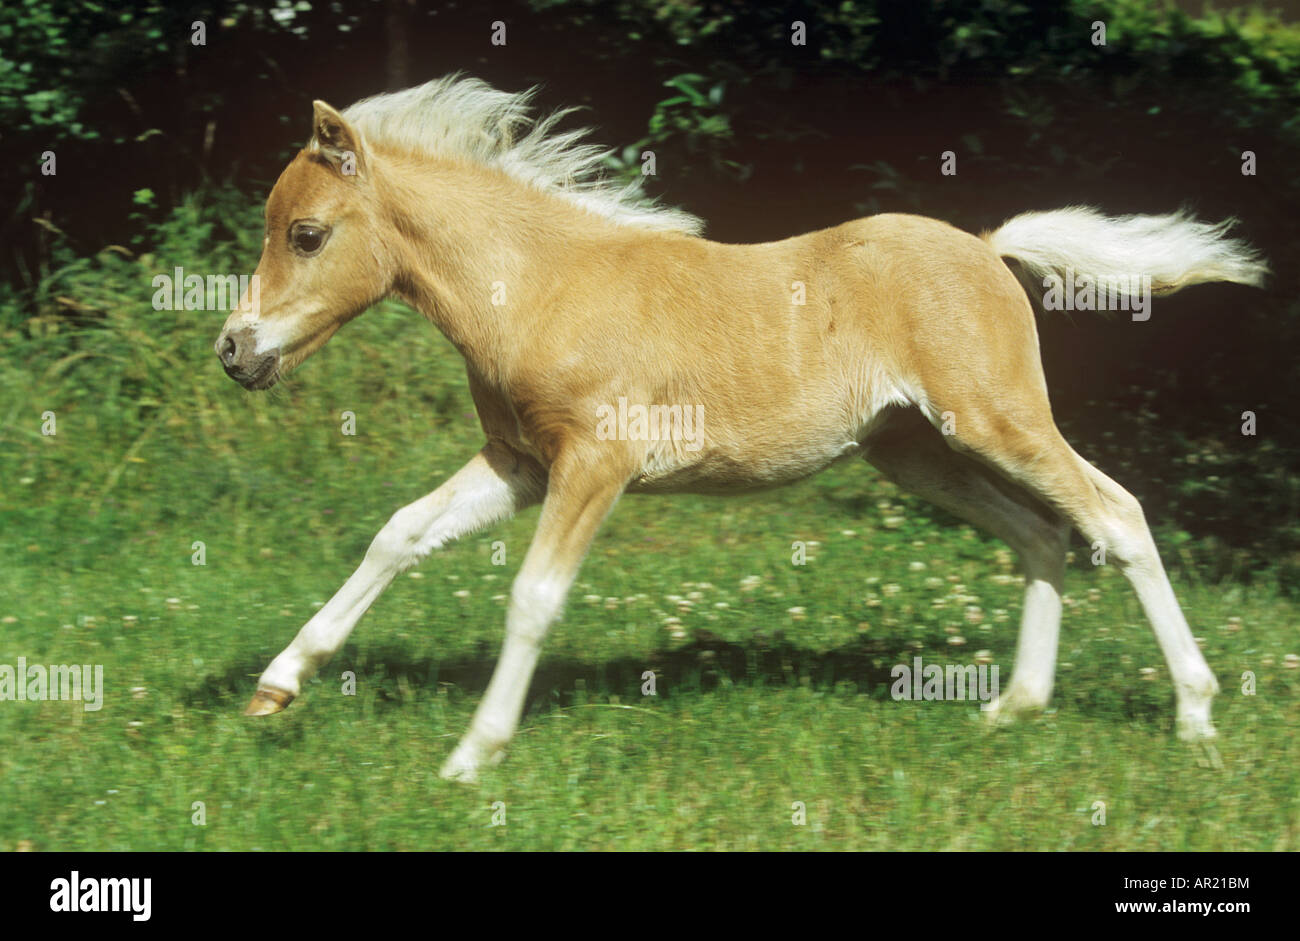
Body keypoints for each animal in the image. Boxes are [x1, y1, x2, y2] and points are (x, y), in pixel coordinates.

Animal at [215, 75, 1266, 781]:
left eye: (306, 234)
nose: (234, 350)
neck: (539, 284)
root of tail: (988, 247)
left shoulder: (596, 462)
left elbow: (533, 598)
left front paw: (473, 754)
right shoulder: (520, 463)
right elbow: (398, 534)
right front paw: (277, 684)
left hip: (996, 420)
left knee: (1116, 514)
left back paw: (1196, 718)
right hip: (918, 452)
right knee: (1045, 533)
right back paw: (1015, 707)